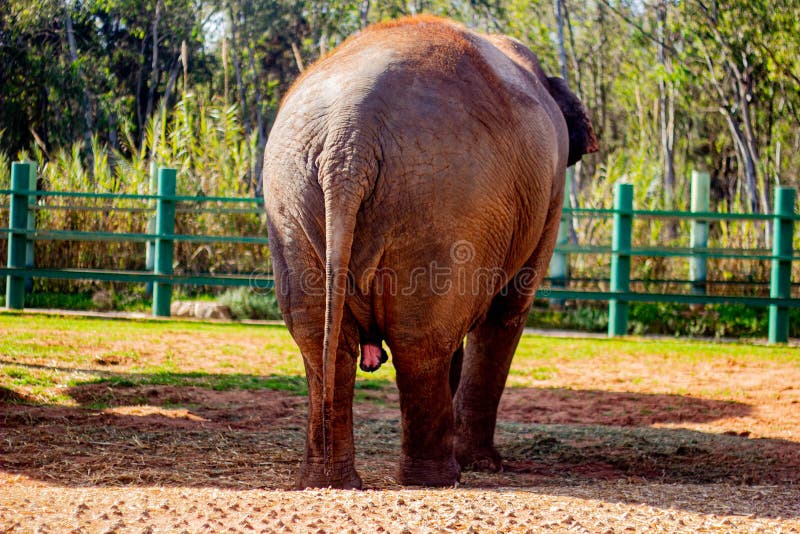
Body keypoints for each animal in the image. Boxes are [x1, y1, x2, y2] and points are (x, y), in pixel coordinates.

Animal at [262, 15, 597, 489]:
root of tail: (350, 138)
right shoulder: (549, 199)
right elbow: (506, 312)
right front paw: (484, 464)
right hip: (441, 203)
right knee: (421, 341)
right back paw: (438, 478)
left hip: (291, 197)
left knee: (321, 339)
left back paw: (329, 481)